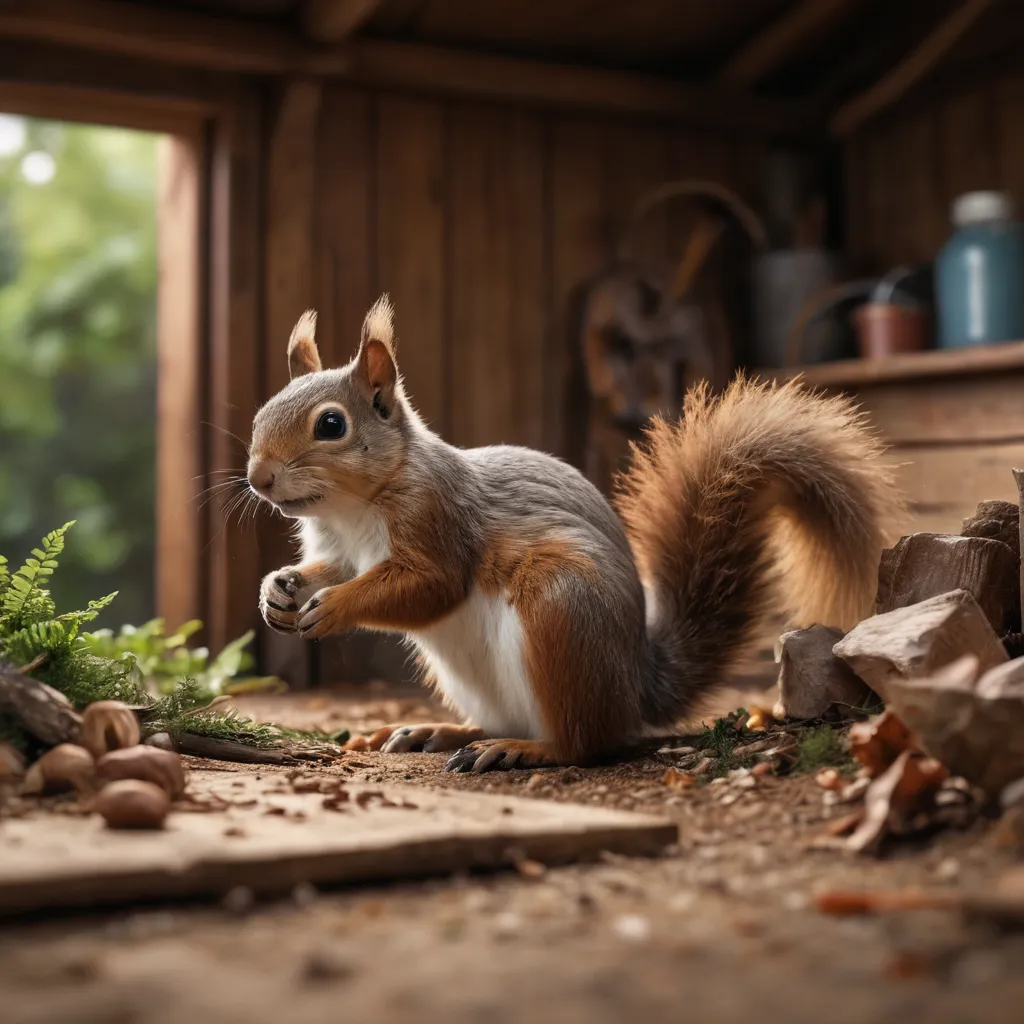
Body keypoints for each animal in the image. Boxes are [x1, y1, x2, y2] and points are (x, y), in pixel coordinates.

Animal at [247, 296, 901, 773]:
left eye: (332, 424)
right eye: (262, 411)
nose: (258, 478)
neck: (354, 508)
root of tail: (635, 687)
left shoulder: (439, 523)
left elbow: (428, 586)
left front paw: (334, 607)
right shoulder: (337, 547)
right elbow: (328, 570)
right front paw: (279, 589)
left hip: (559, 606)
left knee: (585, 742)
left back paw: (522, 750)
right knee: (509, 718)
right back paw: (440, 730)